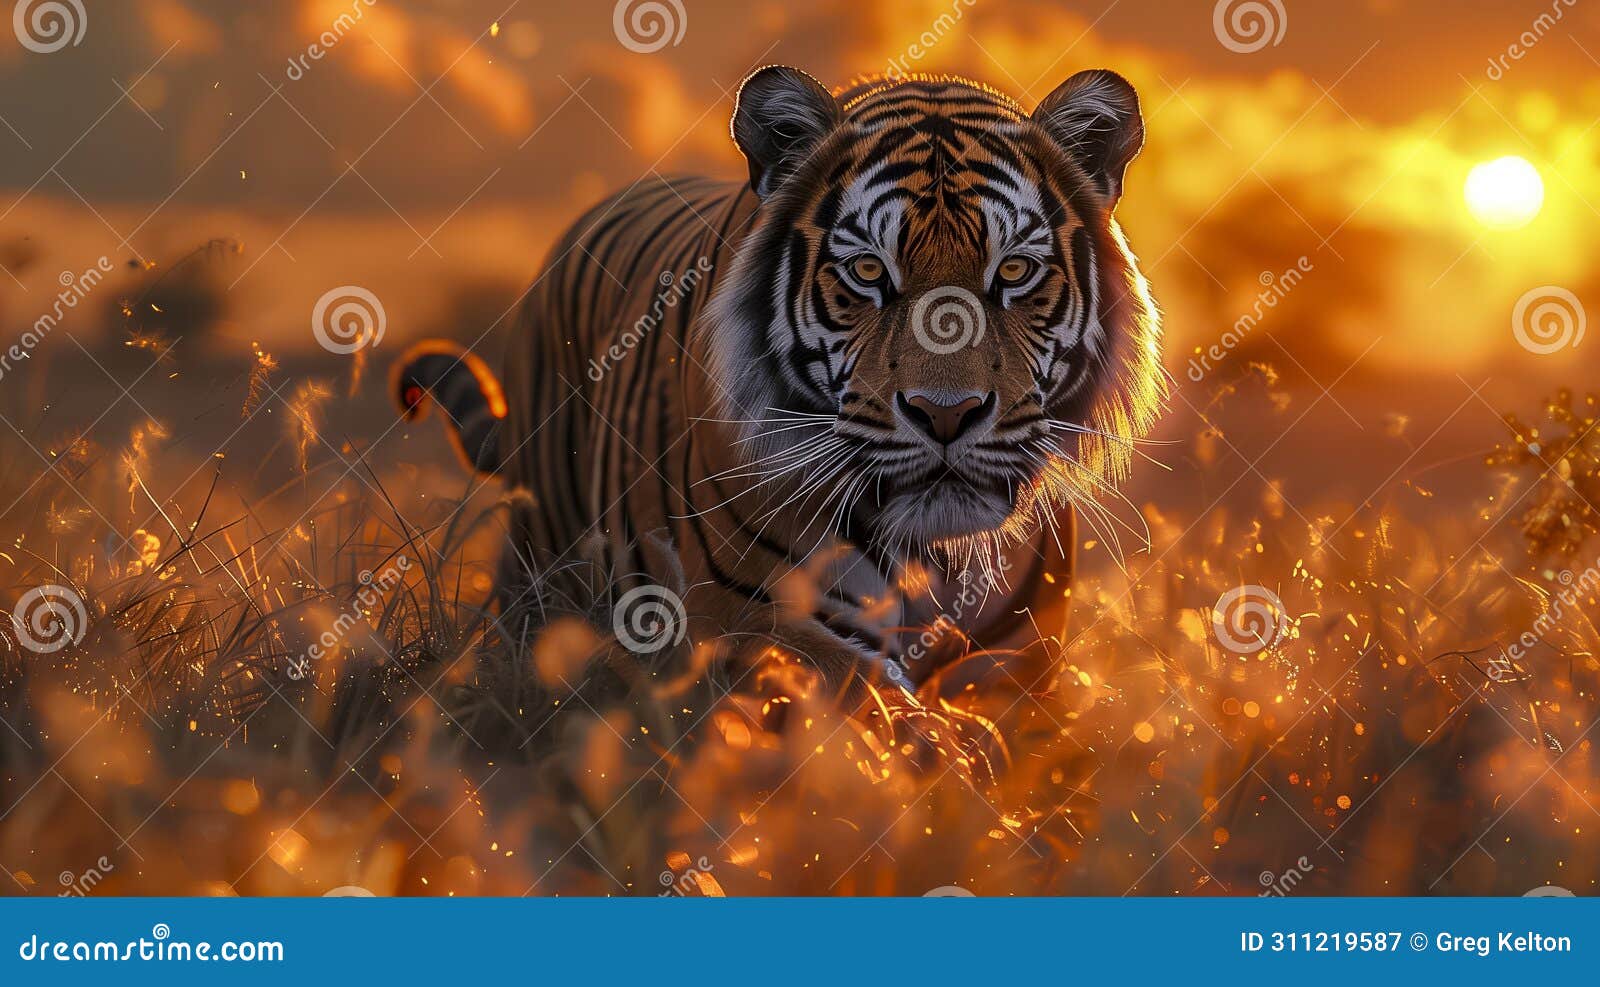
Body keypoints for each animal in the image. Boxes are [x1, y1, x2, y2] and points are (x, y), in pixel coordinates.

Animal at [394, 66, 1165, 700]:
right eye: (867, 271)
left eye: (1013, 271)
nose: (946, 413)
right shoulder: (732, 615)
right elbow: (860, 690)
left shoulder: (1021, 654)